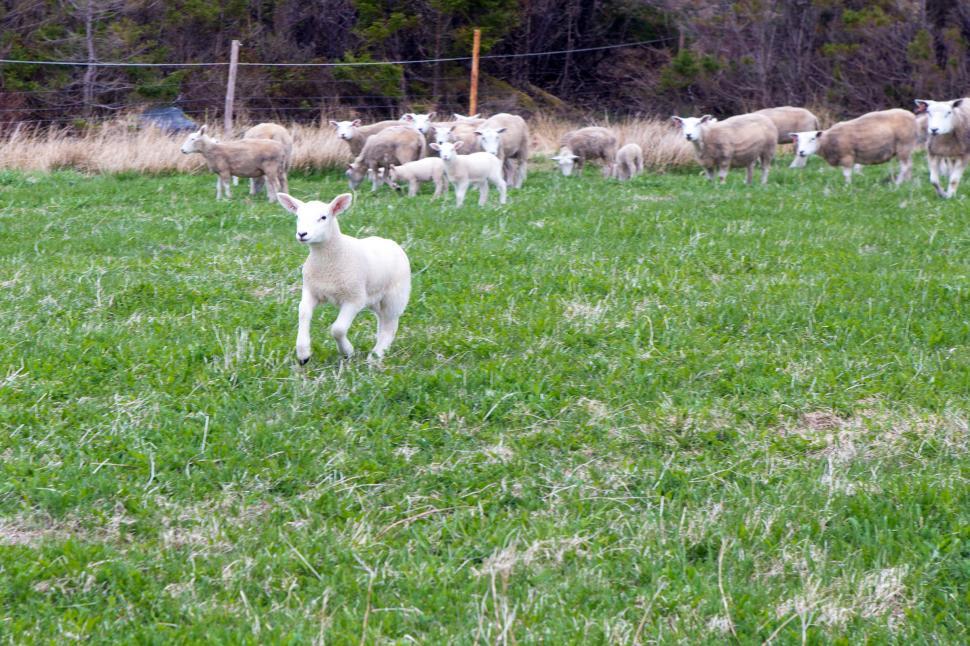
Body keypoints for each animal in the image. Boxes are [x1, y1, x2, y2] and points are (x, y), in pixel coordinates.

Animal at [276, 192, 411, 364]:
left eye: (323, 217)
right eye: (297, 216)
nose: (302, 234)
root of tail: (390, 242)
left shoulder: (355, 298)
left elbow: (338, 329)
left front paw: (347, 352)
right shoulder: (311, 290)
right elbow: (303, 313)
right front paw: (303, 354)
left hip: (395, 297)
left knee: (389, 327)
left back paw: (375, 357)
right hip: (375, 299)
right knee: (382, 323)